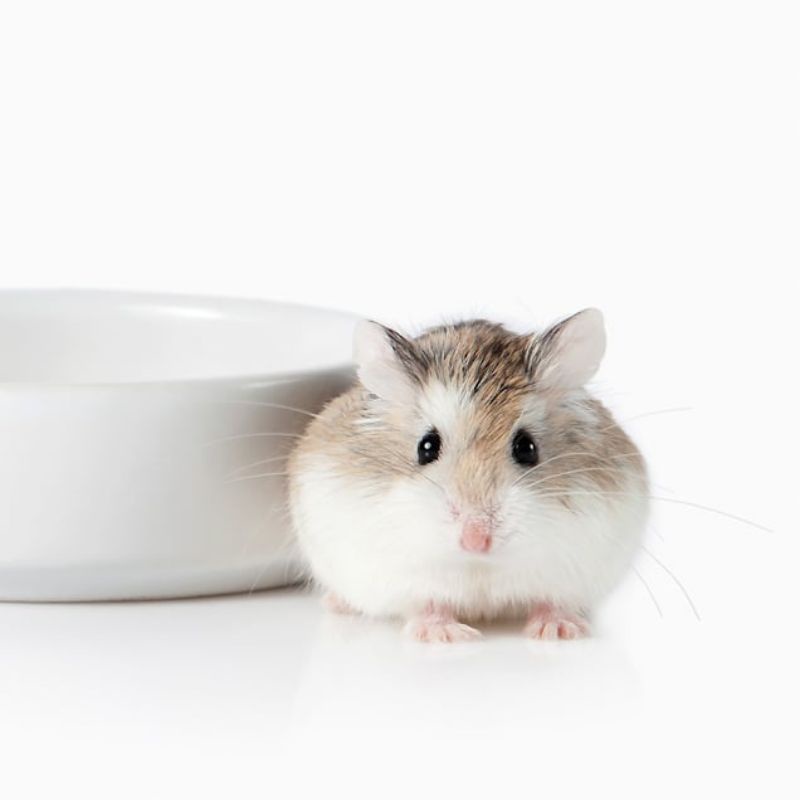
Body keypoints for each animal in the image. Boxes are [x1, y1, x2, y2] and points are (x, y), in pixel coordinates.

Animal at [288, 309, 648, 642]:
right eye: (427, 446)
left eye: (527, 448)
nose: (476, 541)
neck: (478, 565)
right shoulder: (406, 576)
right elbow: (429, 602)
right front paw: (446, 636)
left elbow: (552, 600)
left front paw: (559, 631)